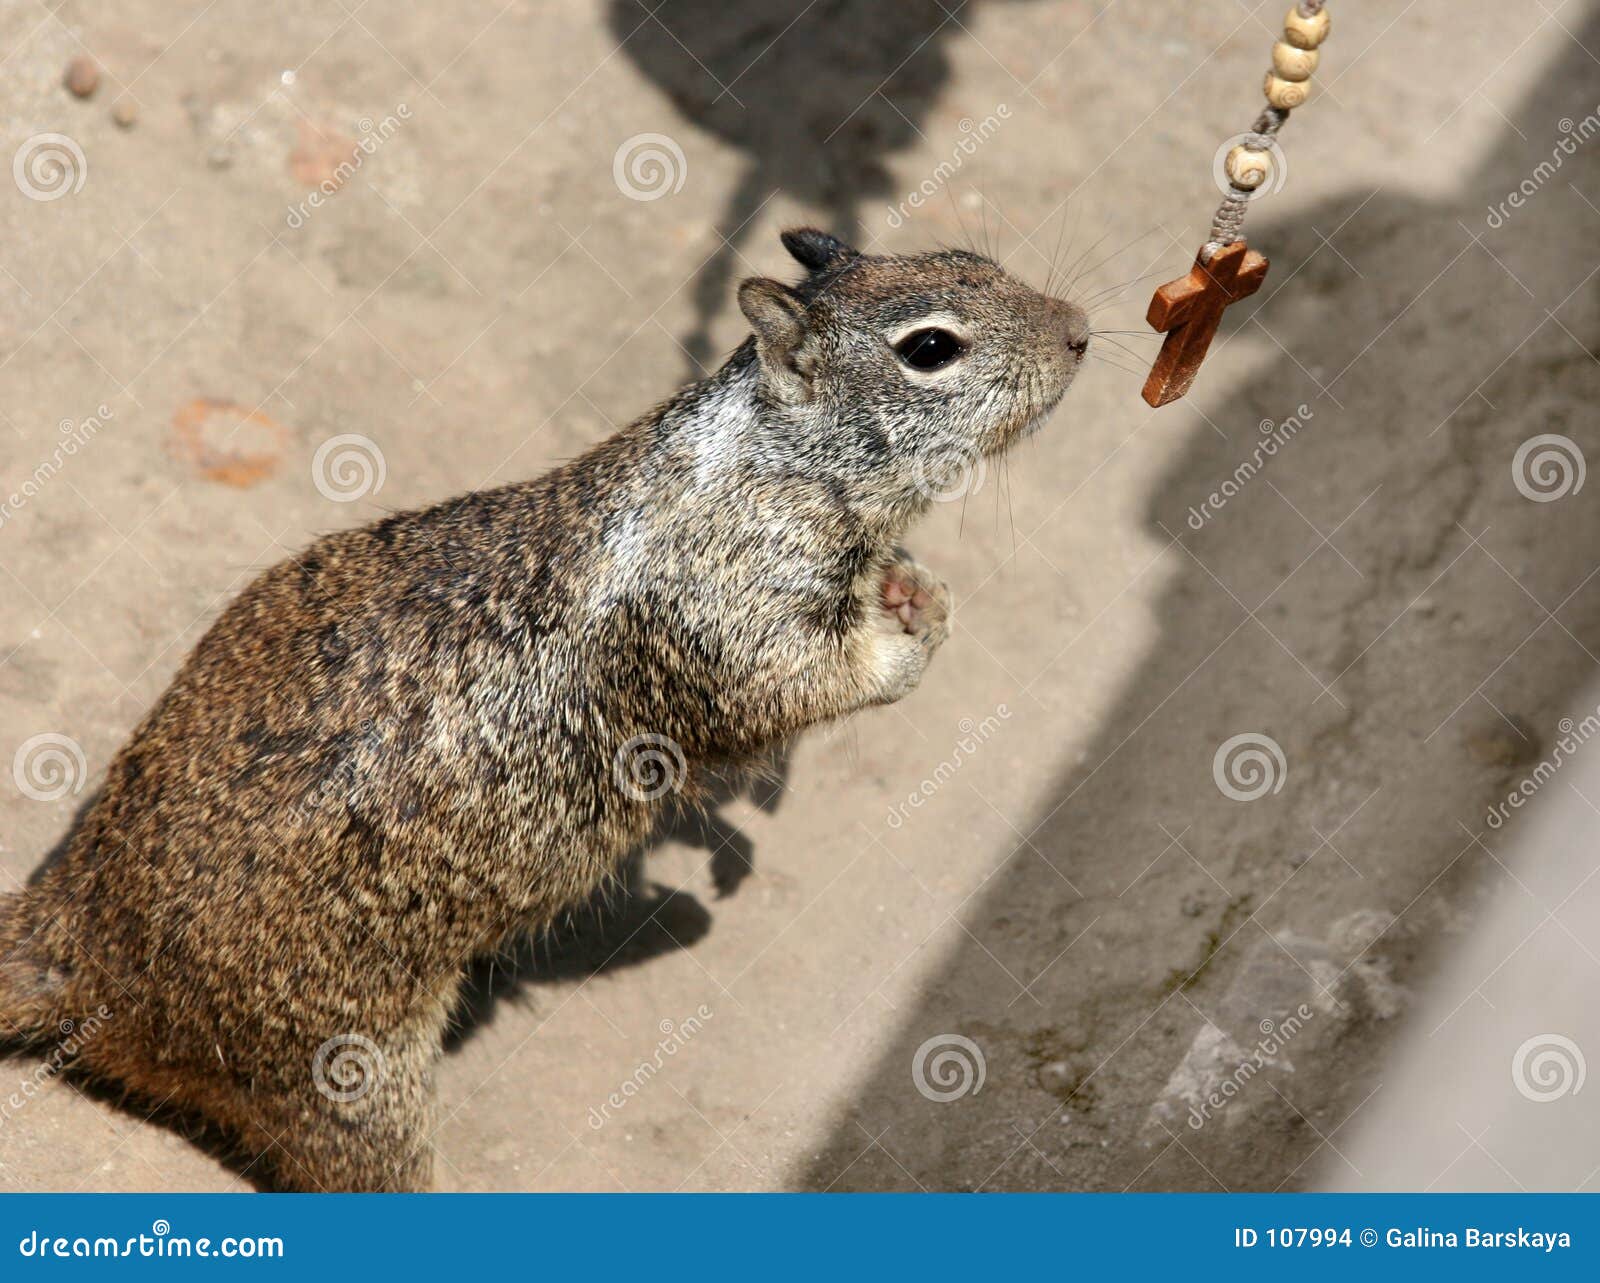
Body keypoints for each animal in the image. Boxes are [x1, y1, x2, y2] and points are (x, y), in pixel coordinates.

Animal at [0, 228, 1088, 1190]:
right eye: (930, 348)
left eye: (975, 257)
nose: (1080, 329)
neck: (766, 466)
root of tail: (78, 940)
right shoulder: (733, 627)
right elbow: (796, 687)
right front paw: (906, 638)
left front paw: (915, 587)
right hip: (344, 1079)